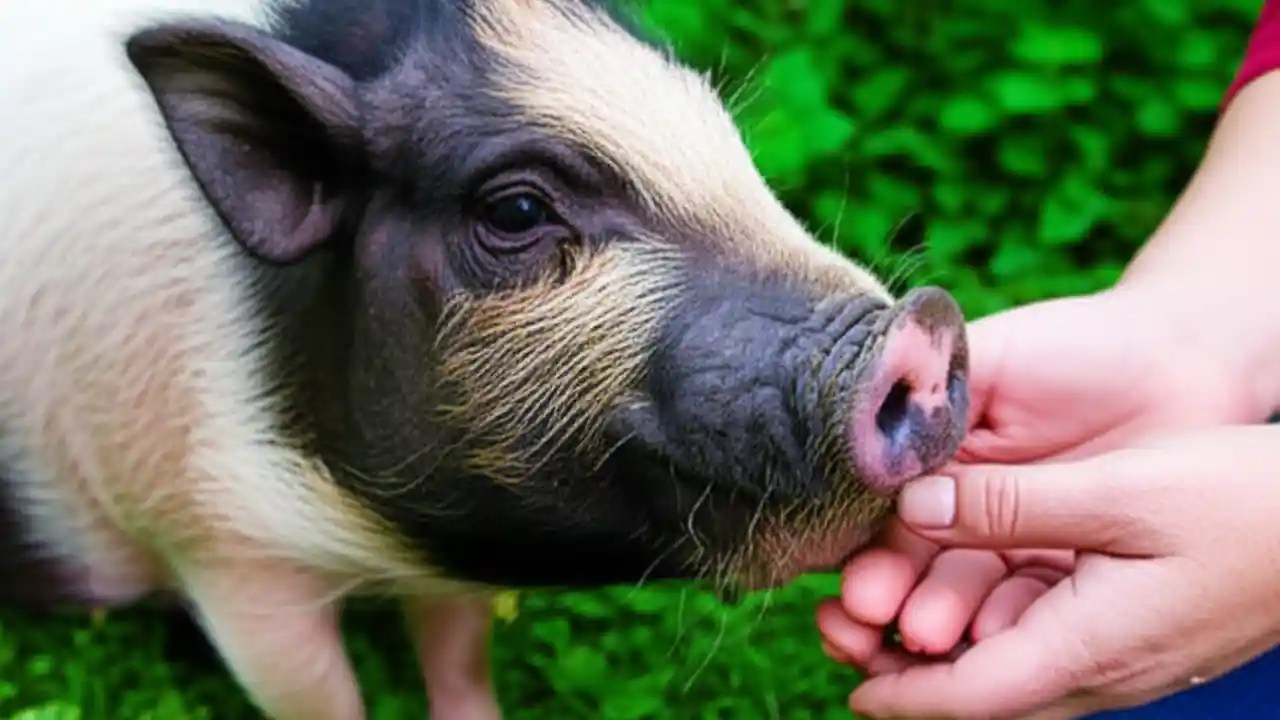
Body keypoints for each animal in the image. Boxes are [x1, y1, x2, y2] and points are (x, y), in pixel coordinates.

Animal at [0, 0, 970, 718]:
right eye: (516, 210)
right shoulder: (224, 551)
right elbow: (319, 696)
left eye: (735, 155)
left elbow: (460, 656)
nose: (925, 322)